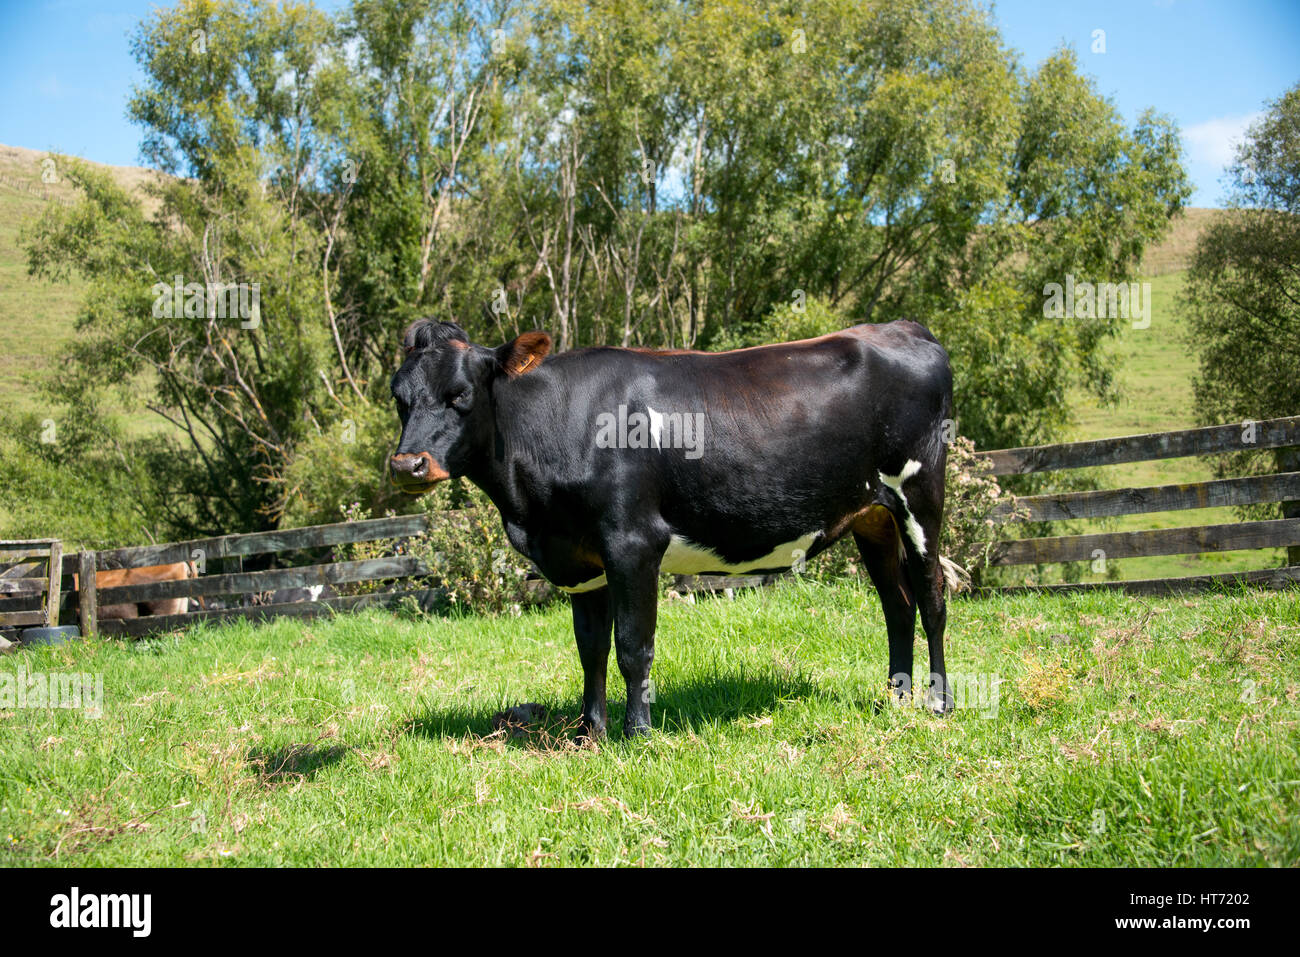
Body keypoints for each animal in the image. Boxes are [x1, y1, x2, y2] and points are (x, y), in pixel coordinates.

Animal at [389, 318, 958, 740]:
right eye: (399, 397)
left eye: (460, 394)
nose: (407, 465)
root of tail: (903, 328)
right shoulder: (581, 558)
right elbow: (590, 648)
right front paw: (588, 732)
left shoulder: (633, 542)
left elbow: (633, 646)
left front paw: (637, 734)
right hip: (872, 514)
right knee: (896, 603)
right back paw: (896, 697)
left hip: (920, 491)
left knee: (931, 599)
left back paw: (938, 703)